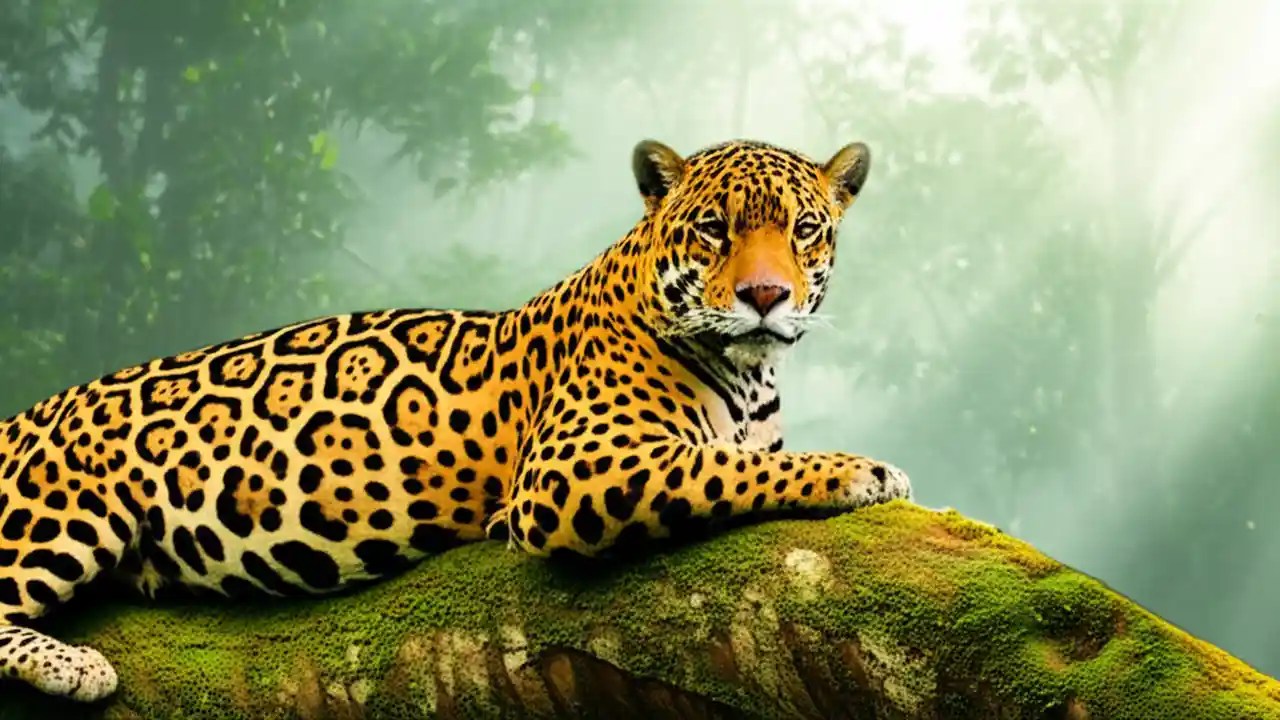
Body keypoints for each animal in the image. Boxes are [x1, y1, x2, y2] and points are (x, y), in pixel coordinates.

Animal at [0, 138, 911, 702]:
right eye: (714, 229)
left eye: (804, 229)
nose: (767, 297)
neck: (752, 372)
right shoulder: (573, 466)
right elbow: (730, 465)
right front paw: (858, 470)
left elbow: (740, 457)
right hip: (61, 513)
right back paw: (72, 664)